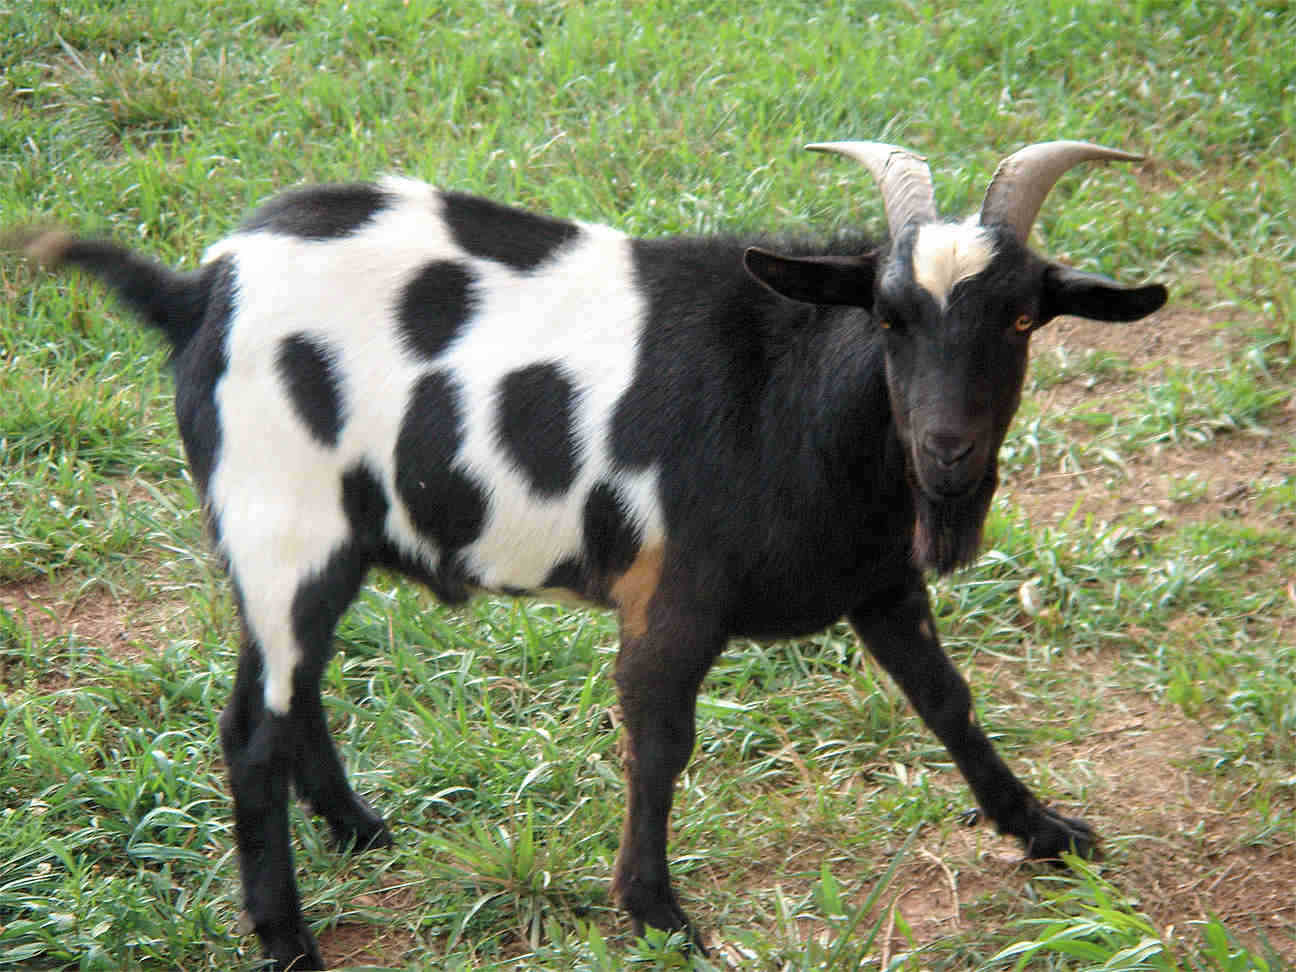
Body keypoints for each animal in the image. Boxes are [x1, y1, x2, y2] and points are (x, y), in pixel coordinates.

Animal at [13, 140, 1167, 969]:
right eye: (887, 316)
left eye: (1022, 318)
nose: (948, 450)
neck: (792, 398)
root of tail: (193, 294)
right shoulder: (673, 594)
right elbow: (659, 741)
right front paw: (659, 915)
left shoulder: (880, 582)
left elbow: (946, 701)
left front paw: (1044, 829)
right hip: (282, 526)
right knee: (254, 732)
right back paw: (292, 945)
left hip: (303, 547)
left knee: (285, 697)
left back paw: (361, 831)